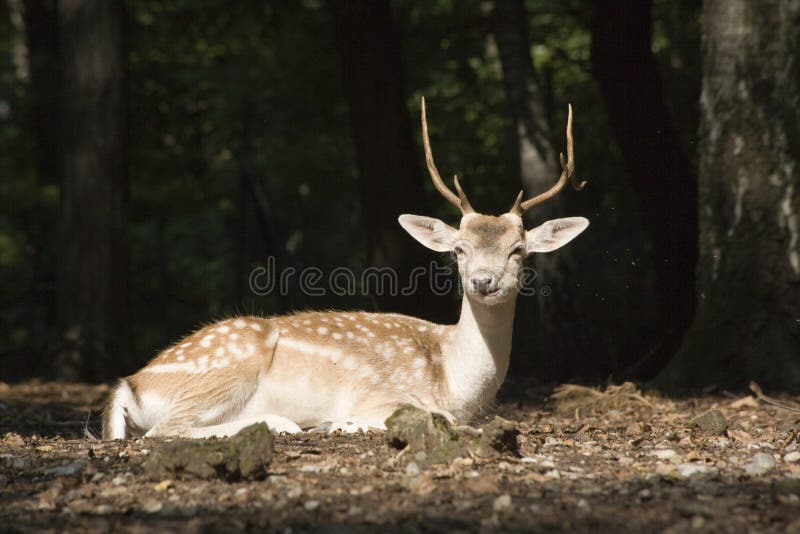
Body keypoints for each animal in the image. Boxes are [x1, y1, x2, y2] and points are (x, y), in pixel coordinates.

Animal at [102, 98, 588, 440]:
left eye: (519, 250)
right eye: (458, 250)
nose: (483, 281)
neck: (454, 381)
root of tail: (132, 384)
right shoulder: (385, 392)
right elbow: (433, 417)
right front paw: (339, 422)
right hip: (227, 366)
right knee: (163, 431)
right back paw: (285, 424)